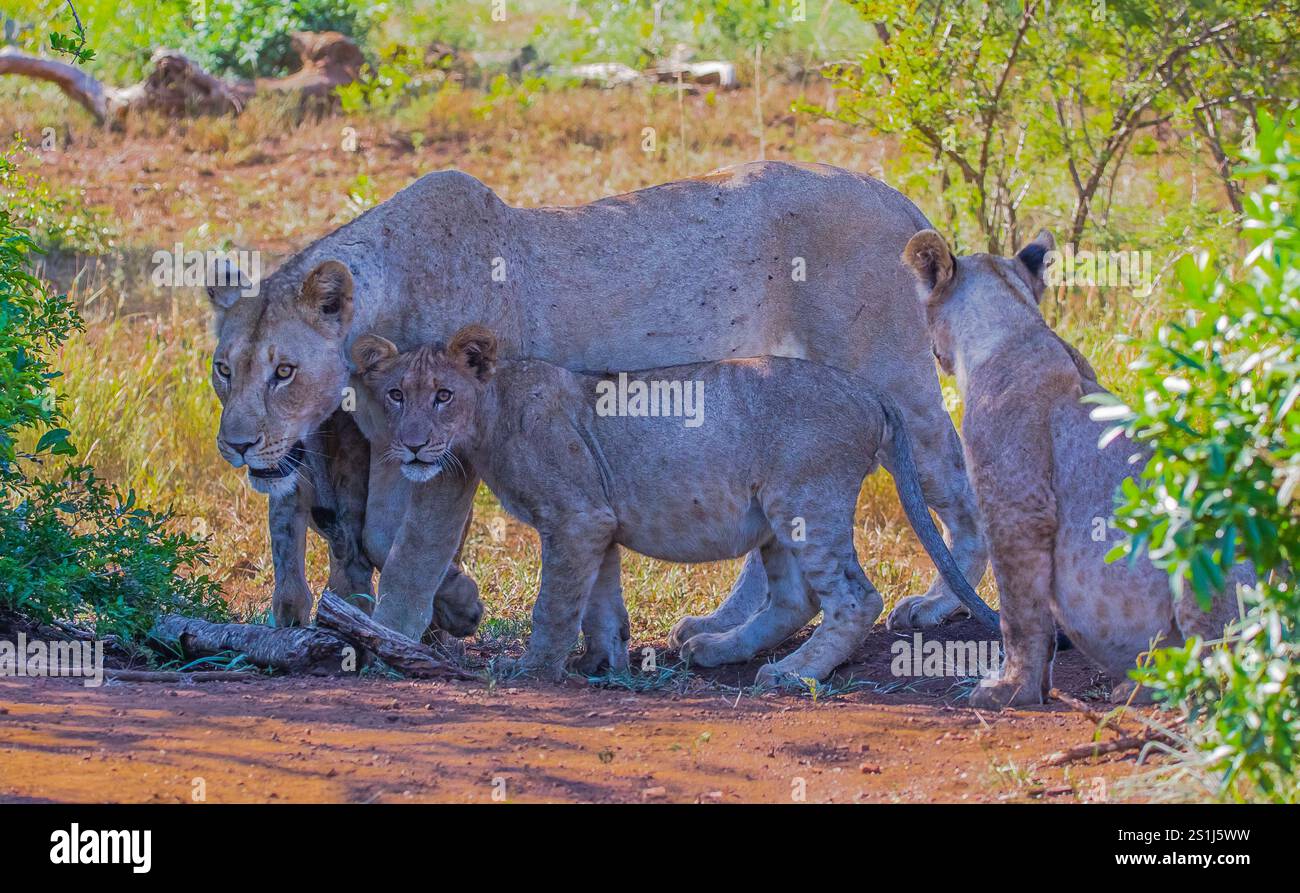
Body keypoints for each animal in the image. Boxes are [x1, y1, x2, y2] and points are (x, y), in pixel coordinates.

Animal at [207, 161, 987, 650]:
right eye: (223, 369)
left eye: (283, 371)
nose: (237, 446)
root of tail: (897, 198)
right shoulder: (400, 443)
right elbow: (374, 535)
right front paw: (453, 604)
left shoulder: (449, 448)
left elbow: (412, 550)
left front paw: (404, 628)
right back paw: (718, 628)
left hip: (893, 376)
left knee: (954, 475)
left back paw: (945, 602)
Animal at [349, 324, 998, 683]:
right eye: (396, 394)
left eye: (443, 395)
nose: (411, 444)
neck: (490, 413)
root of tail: (870, 391)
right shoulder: (598, 521)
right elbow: (598, 602)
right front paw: (603, 662)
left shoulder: (575, 517)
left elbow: (553, 607)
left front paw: (531, 671)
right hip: (775, 514)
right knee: (796, 598)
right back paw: (715, 649)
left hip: (806, 499)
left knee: (854, 598)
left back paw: (793, 673)